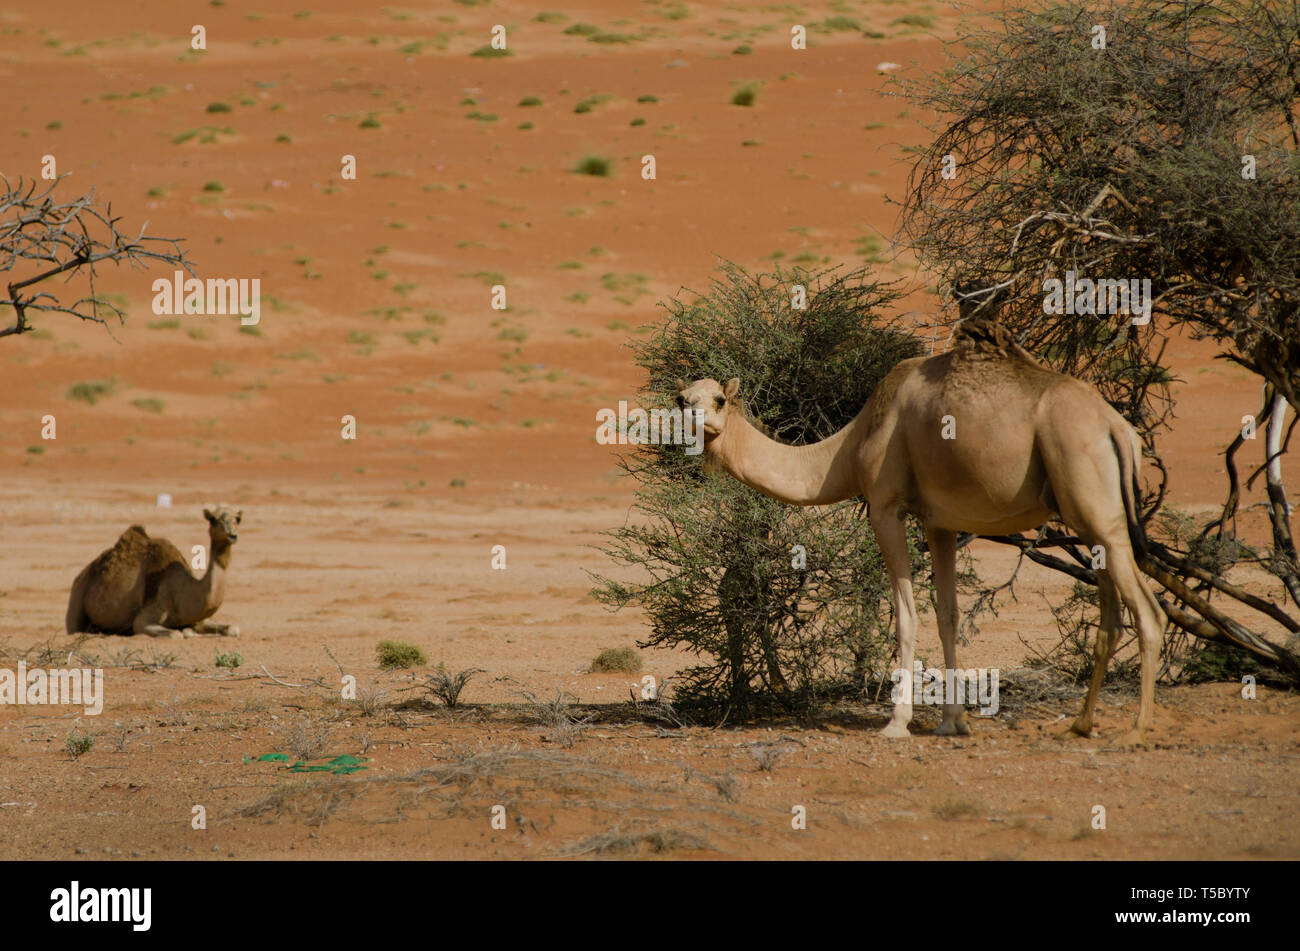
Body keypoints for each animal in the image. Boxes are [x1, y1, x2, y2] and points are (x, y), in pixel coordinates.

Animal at [66, 504, 242, 639]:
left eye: (238, 519)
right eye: (213, 519)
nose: (232, 534)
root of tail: (81, 576)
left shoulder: (199, 619)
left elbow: (233, 629)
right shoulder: (145, 616)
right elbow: (176, 634)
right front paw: (187, 632)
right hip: (77, 598)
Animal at [678, 318, 1165, 741]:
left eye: (718, 399)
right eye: (683, 398)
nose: (692, 415)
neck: (850, 447)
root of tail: (1117, 428)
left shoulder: (885, 506)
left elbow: (906, 615)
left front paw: (897, 722)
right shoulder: (940, 523)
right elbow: (948, 614)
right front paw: (953, 722)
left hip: (1096, 508)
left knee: (1149, 612)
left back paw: (1138, 730)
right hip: (1089, 519)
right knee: (1111, 617)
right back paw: (1081, 723)